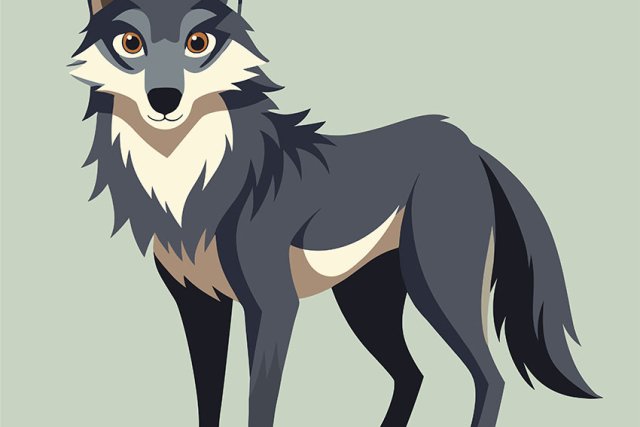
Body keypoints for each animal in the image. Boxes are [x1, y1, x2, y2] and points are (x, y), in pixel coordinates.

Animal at [70, 0, 599, 426]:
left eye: (198, 43)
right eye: (130, 43)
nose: (164, 99)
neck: (187, 179)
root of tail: (469, 146)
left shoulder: (272, 306)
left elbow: (258, 404)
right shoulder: (199, 306)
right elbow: (207, 403)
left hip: (438, 290)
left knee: (490, 378)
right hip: (366, 302)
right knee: (412, 375)